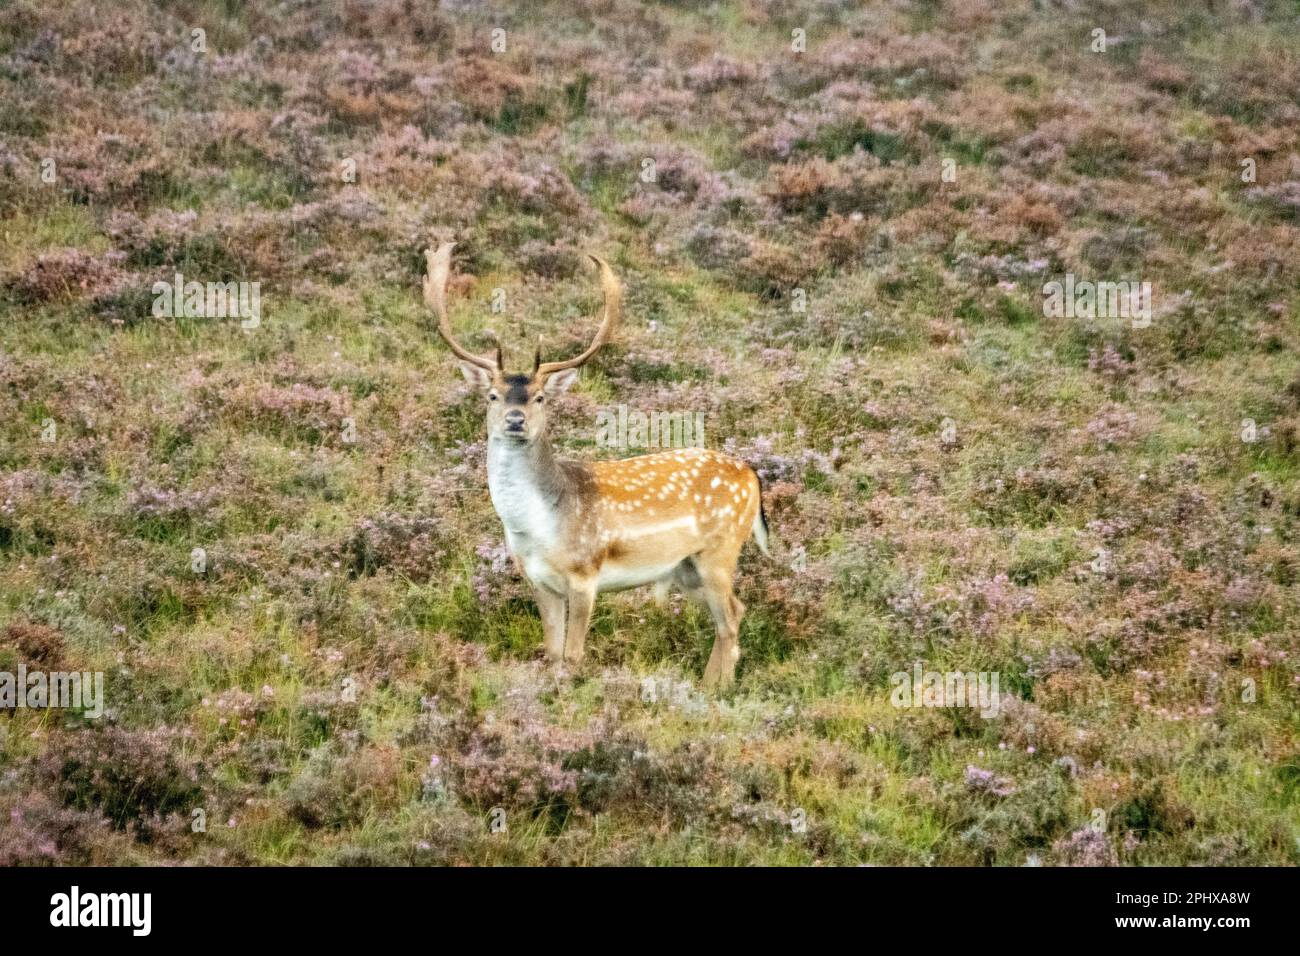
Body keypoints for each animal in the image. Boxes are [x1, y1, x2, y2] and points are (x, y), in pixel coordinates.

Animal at [422, 242, 770, 689]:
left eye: (540, 397)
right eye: (492, 396)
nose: (515, 420)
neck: (539, 530)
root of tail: (752, 477)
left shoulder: (586, 574)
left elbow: (573, 655)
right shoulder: (537, 579)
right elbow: (552, 652)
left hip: (720, 551)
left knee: (728, 619)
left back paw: (717, 689)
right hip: (686, 568)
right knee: (735, 612)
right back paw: (711, 684)